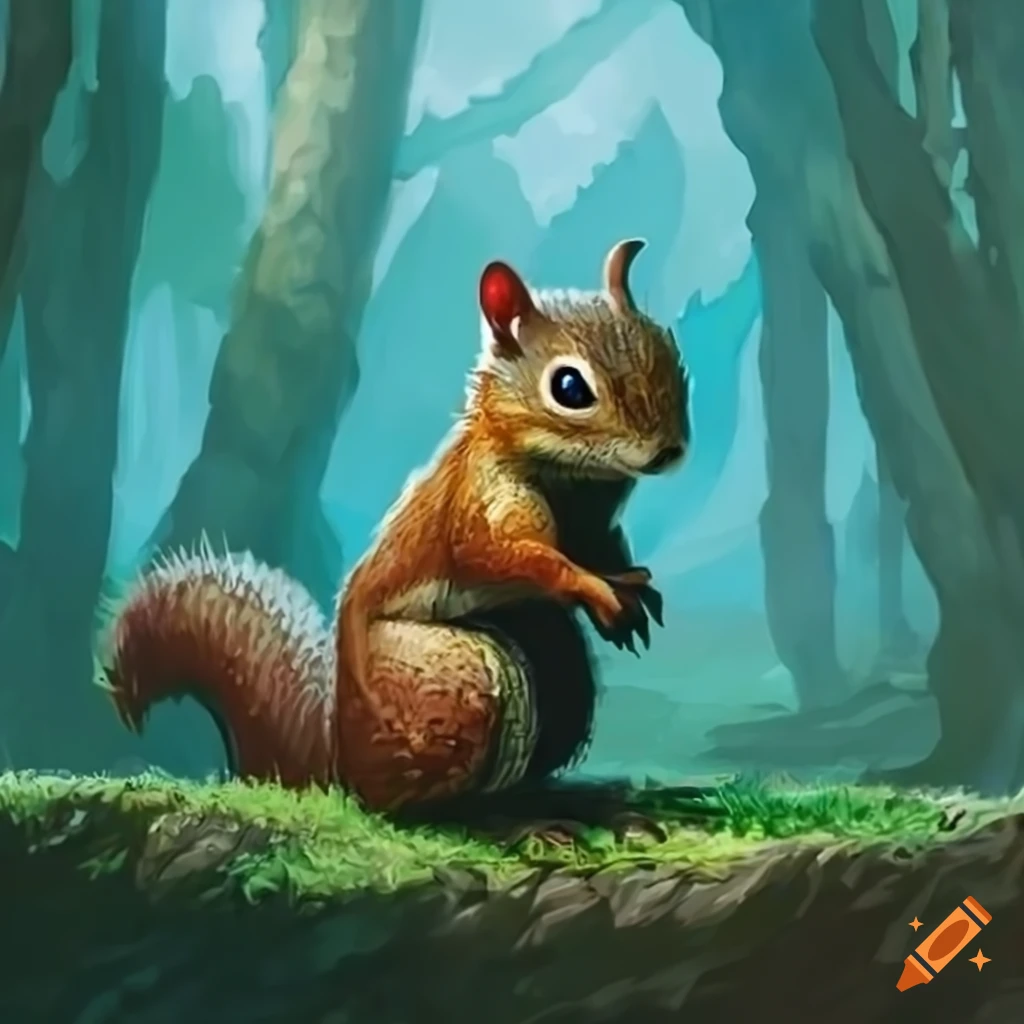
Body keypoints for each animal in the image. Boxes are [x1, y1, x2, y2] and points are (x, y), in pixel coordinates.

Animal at [104, 238, 690, 814]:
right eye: (569, 386)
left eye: (668, 350)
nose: (668, 451)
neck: (574, 475)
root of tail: (340, 766)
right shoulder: (479, 503)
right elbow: (505, 553)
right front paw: (596, 590)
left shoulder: (596, 523)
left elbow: (602, 549)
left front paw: (634, 588)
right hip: (457, 686)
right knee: (407, 805)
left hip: (554, 666)